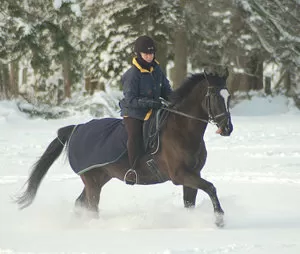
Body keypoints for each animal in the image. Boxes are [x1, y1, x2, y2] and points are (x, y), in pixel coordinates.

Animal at [16, 72, 233, 228]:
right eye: (215, 96)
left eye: (228, 96)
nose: (227, 128)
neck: (182, 130)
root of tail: (76, 128)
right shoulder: (180, 175)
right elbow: (211, 187)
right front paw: (219, 219)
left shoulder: (193, 174)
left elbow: (191, 201)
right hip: (92, 181)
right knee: (91, 206)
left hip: (100, 178)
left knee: (80, 203)